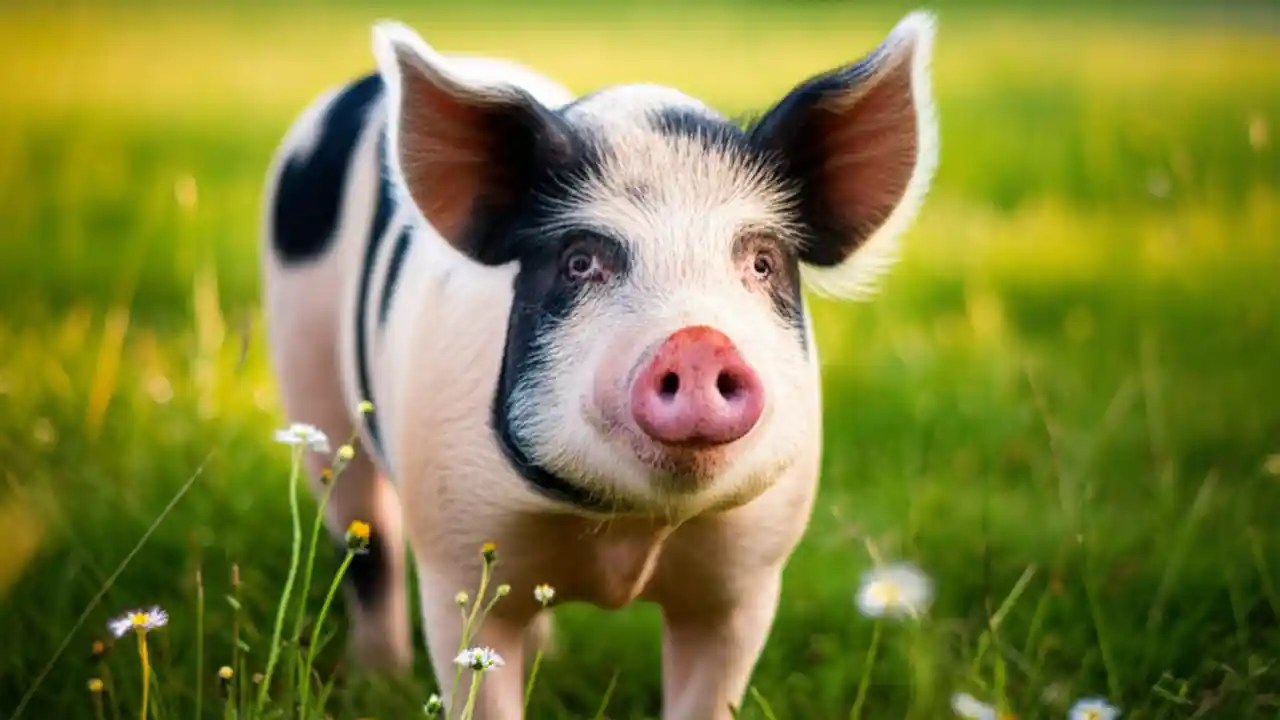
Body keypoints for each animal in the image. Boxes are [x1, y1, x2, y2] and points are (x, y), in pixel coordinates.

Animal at [261, 10, 937, 719]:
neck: (631, 528)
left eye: (760, 262)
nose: (699, 340)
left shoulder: (747, 573)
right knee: (366, 540)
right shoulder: (455, 553)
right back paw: (378, 682)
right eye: (580, 261)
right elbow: (476, 669)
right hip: (308, 378)